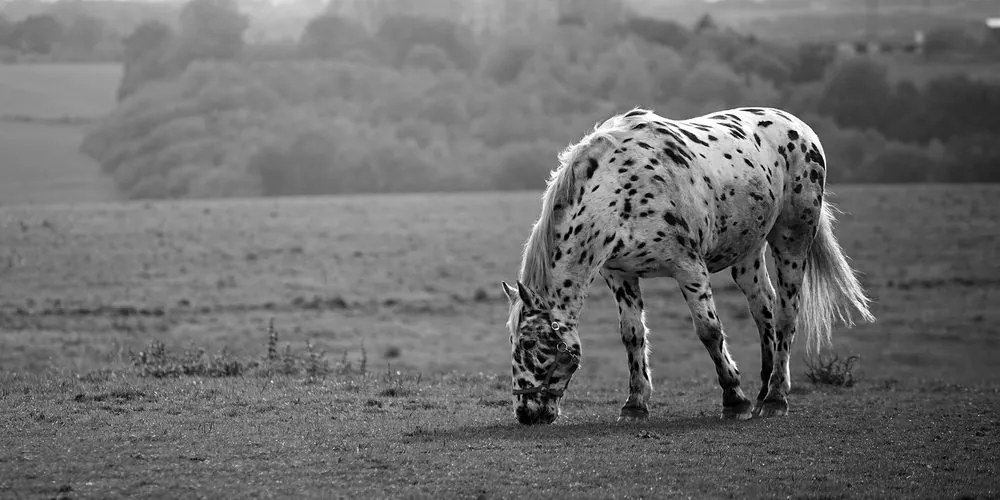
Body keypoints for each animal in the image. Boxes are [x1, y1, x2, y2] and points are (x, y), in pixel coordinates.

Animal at [500, 107, 876, 424]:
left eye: (530, 344)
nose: (525, 412)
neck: (620, 192)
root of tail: (801, 128)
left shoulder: (689, 268)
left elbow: (709, 331)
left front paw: (734, 399)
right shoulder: (620, 275)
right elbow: (632, 336)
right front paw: (635, 405)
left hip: (791, 240)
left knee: (786, 315)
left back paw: (775, 398)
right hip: (748, 254)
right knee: (764, 310)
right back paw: (763, 390)